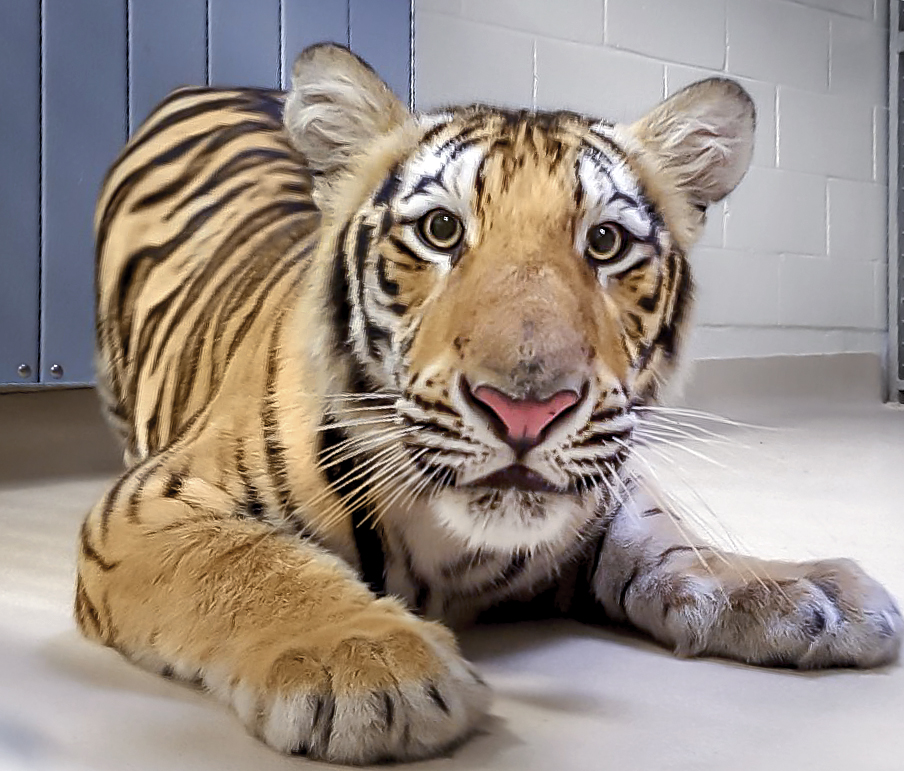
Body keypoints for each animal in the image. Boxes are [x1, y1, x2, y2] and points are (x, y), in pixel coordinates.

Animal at [77, 43, 902, 765]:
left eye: (606, 242)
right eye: (441, 229)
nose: (525, 409)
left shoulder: (609, 482)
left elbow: (670, 541)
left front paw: (801, 587)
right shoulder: (147, 505)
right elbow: (250, 560)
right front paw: (364, 661)